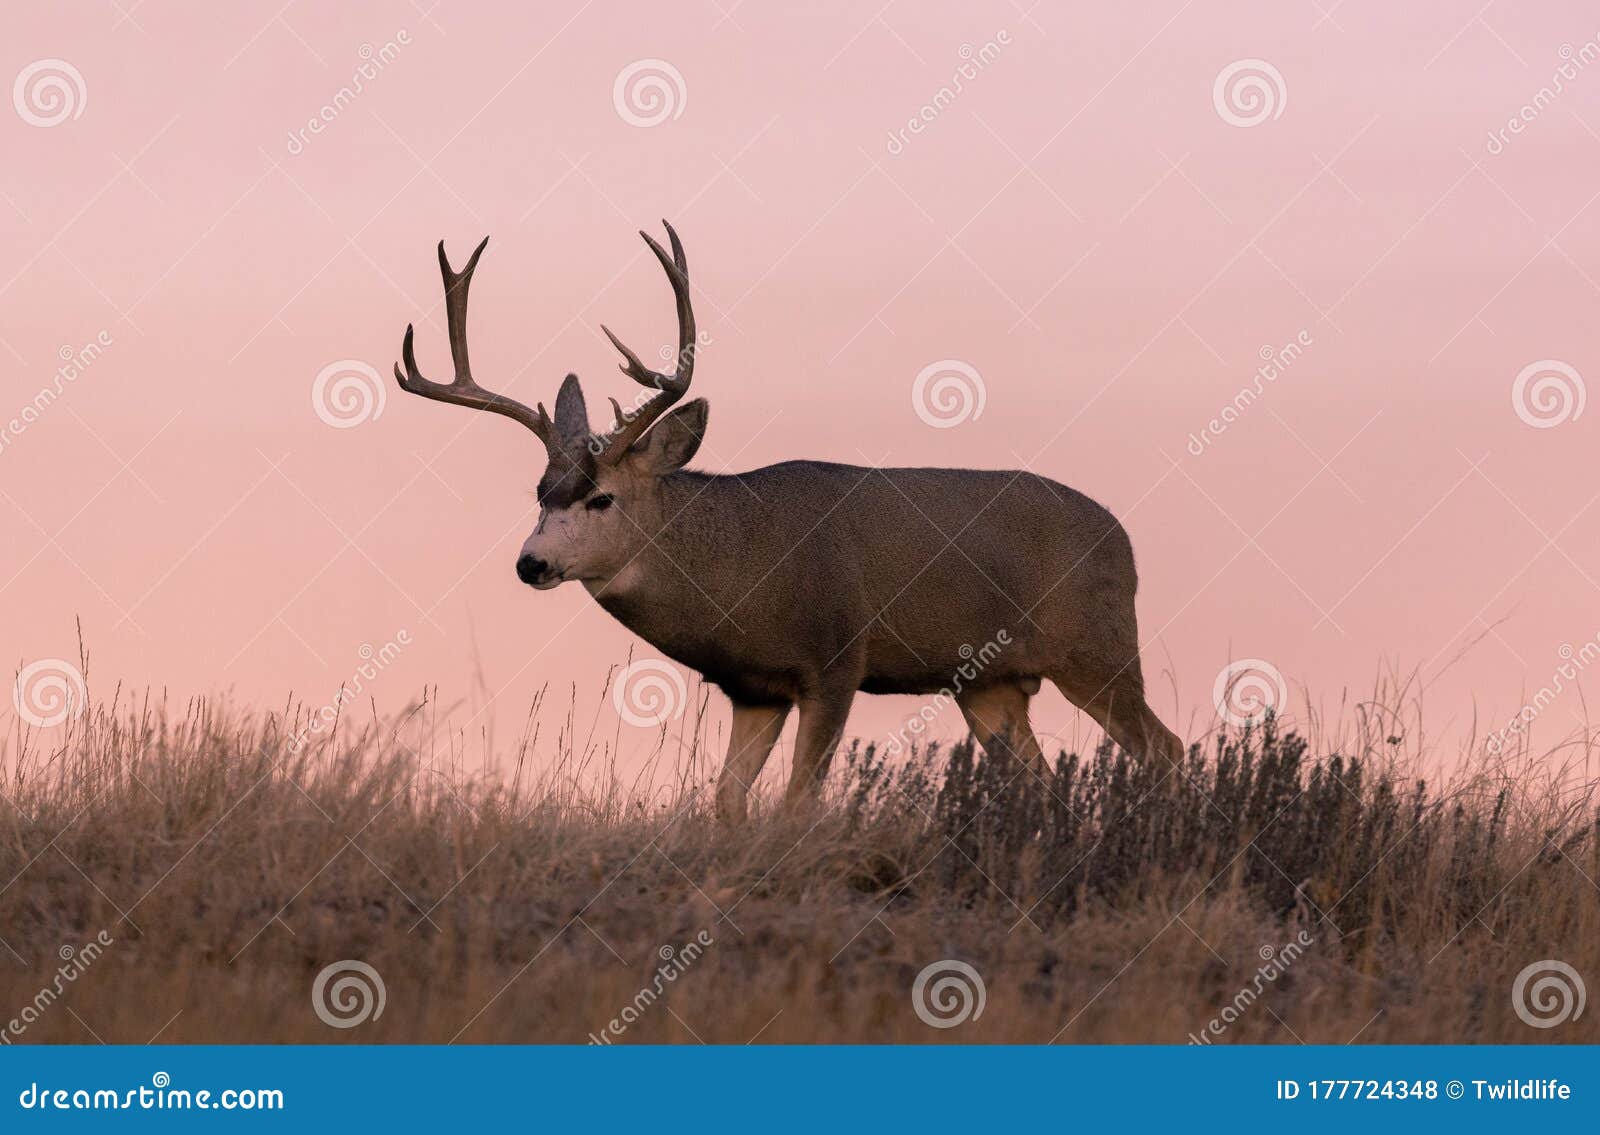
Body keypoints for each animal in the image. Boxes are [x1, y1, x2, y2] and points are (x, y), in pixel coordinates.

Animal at [394, 222, 1183, 821]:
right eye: (540, 491)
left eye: (602, 499)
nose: (531, 563)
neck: (742, 564)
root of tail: (1125, 540)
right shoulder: (753, 689)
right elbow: (727, 800)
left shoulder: (836, 659)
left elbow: (799, 802)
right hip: (991, 685)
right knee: (1042, 781)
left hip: (1099, 648)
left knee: (1165, 750)